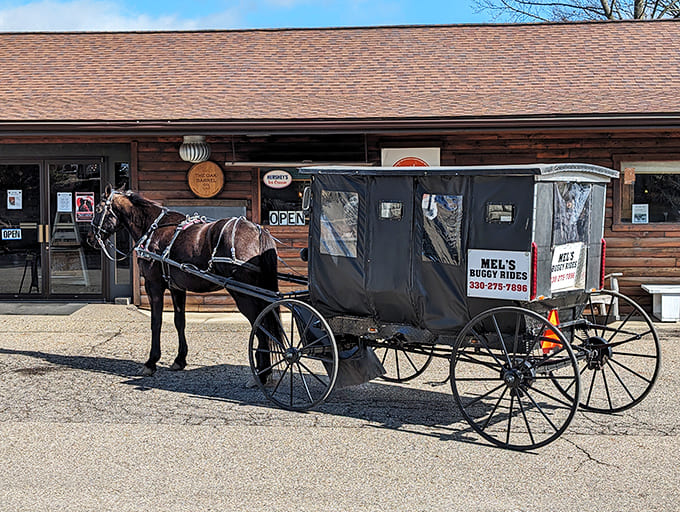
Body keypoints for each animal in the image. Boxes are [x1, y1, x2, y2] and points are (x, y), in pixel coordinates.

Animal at [88, 185, 280, 380]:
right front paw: (180, 360)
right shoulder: (176, 288)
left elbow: (156, 322)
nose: (90, 237)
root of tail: (257, 231)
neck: (152, 229)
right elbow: (179, 321)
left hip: (243, 294)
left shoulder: (153, 285)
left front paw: (151, 362)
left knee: (260, 326)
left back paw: (263, 374)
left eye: (98, 209)